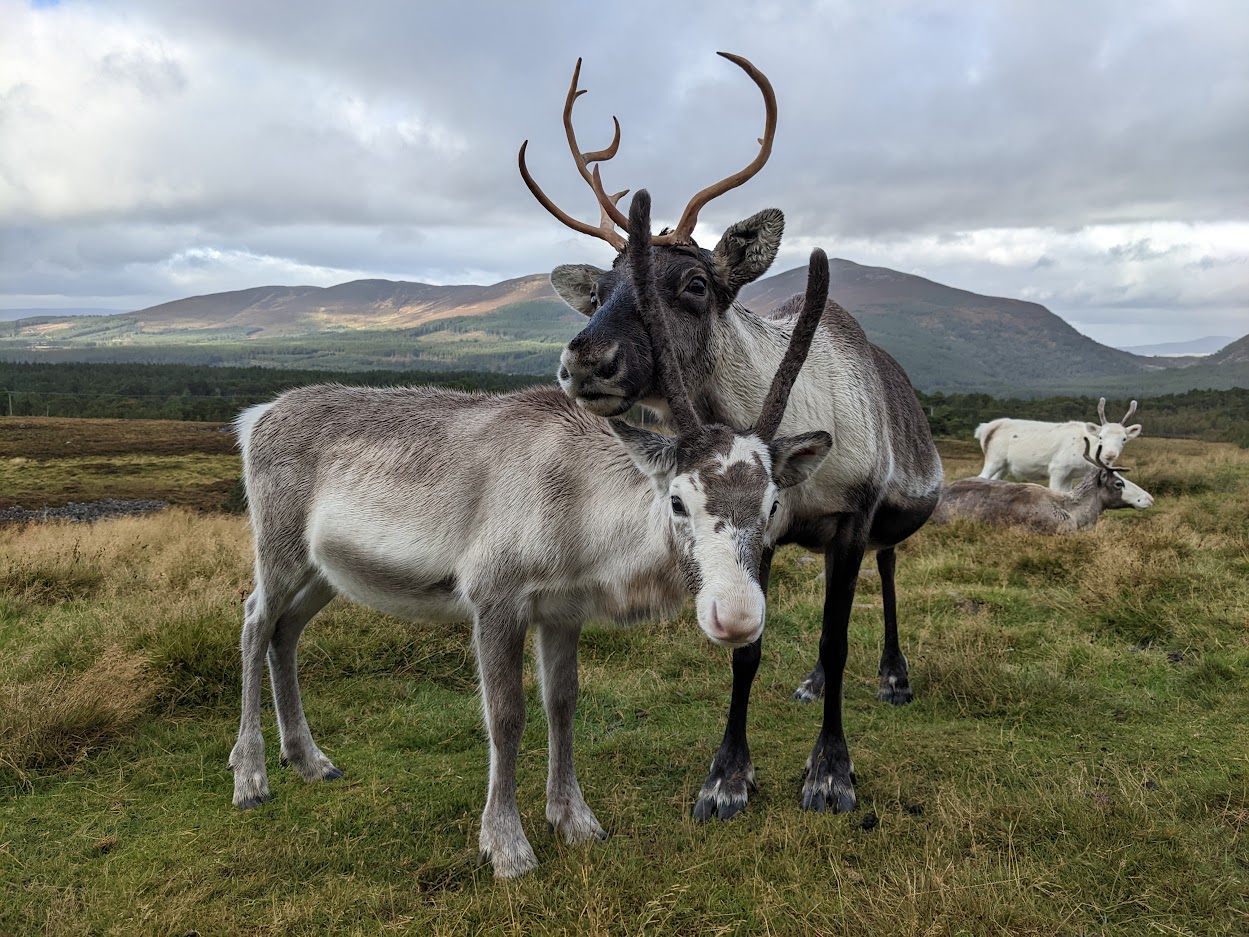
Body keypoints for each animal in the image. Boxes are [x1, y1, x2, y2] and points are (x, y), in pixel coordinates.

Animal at [228, 190, 834, 878]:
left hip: (325, 569)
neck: (583, 514)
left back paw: (309, 760)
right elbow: (506, 715)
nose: (736, 615)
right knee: (254, 621)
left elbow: (562, 705)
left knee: (286, 632)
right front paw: (507, 844)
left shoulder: (563, 609)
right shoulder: (494, 596)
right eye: (677, 500)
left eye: (772, 502)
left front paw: (574, 820)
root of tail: (255, 418)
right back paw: (250, 777)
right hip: (277, 546)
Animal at [519, 53, 944, 819]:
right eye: (598, 290)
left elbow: (838, 638)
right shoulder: (763, 536)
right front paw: (727, 775)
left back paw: (893, 675)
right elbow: (749, 648)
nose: (586, 360)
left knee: (888, 566)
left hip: (889, 518)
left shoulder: (853, 513)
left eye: (693, 283)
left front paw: (830, 770)